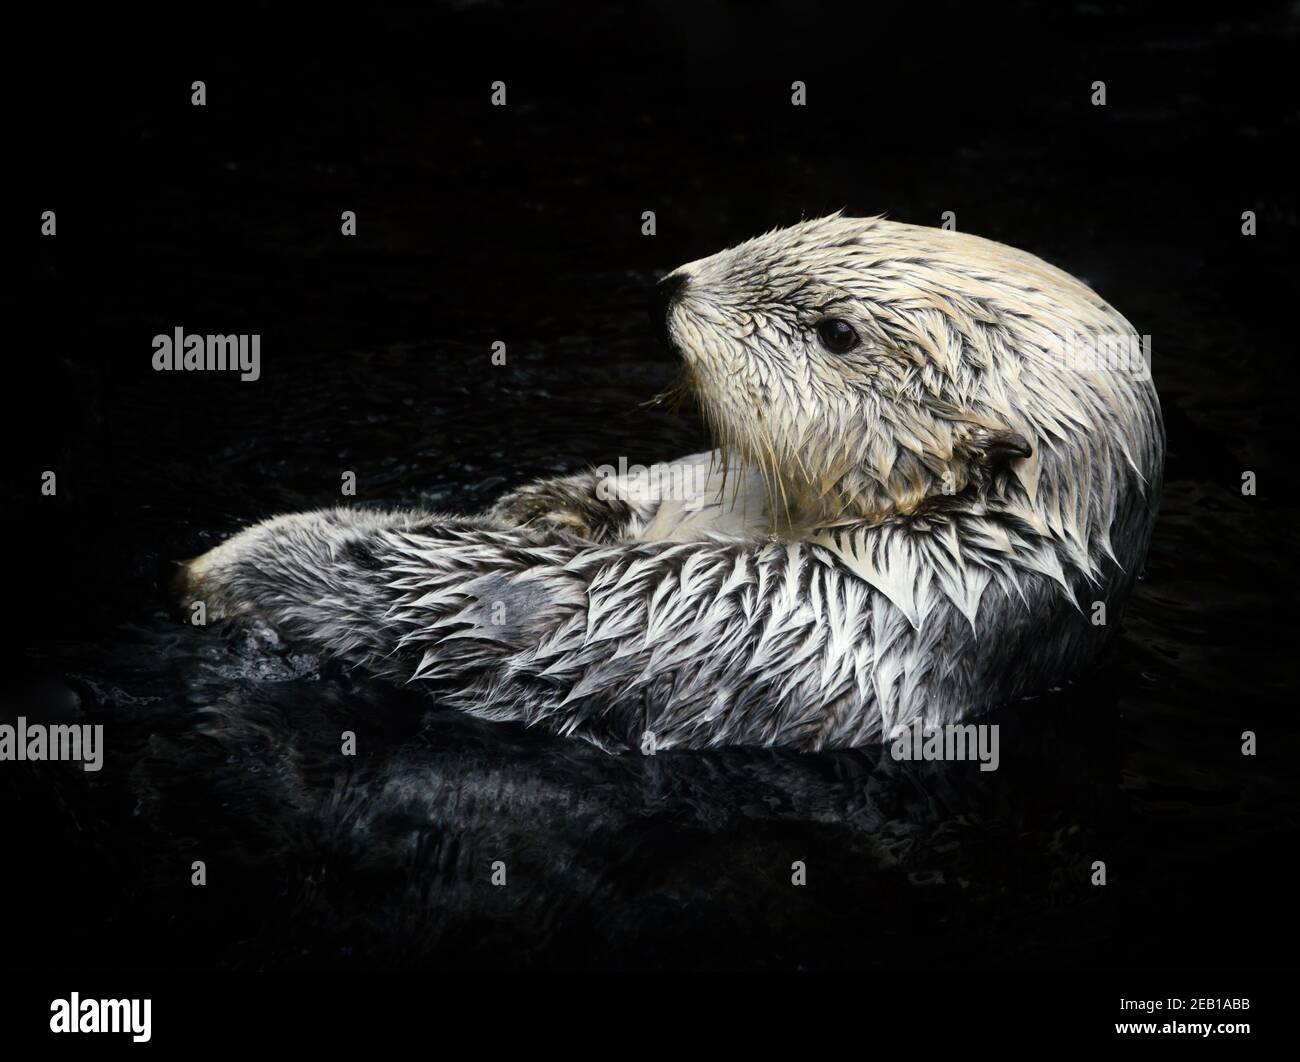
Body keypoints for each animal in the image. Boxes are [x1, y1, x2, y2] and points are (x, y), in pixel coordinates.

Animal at [176, 215, 1164, 752]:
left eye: (838, 333)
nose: (671, 286)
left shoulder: (784, 613)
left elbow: (516, 610)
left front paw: (253, 559)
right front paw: (550, 508)